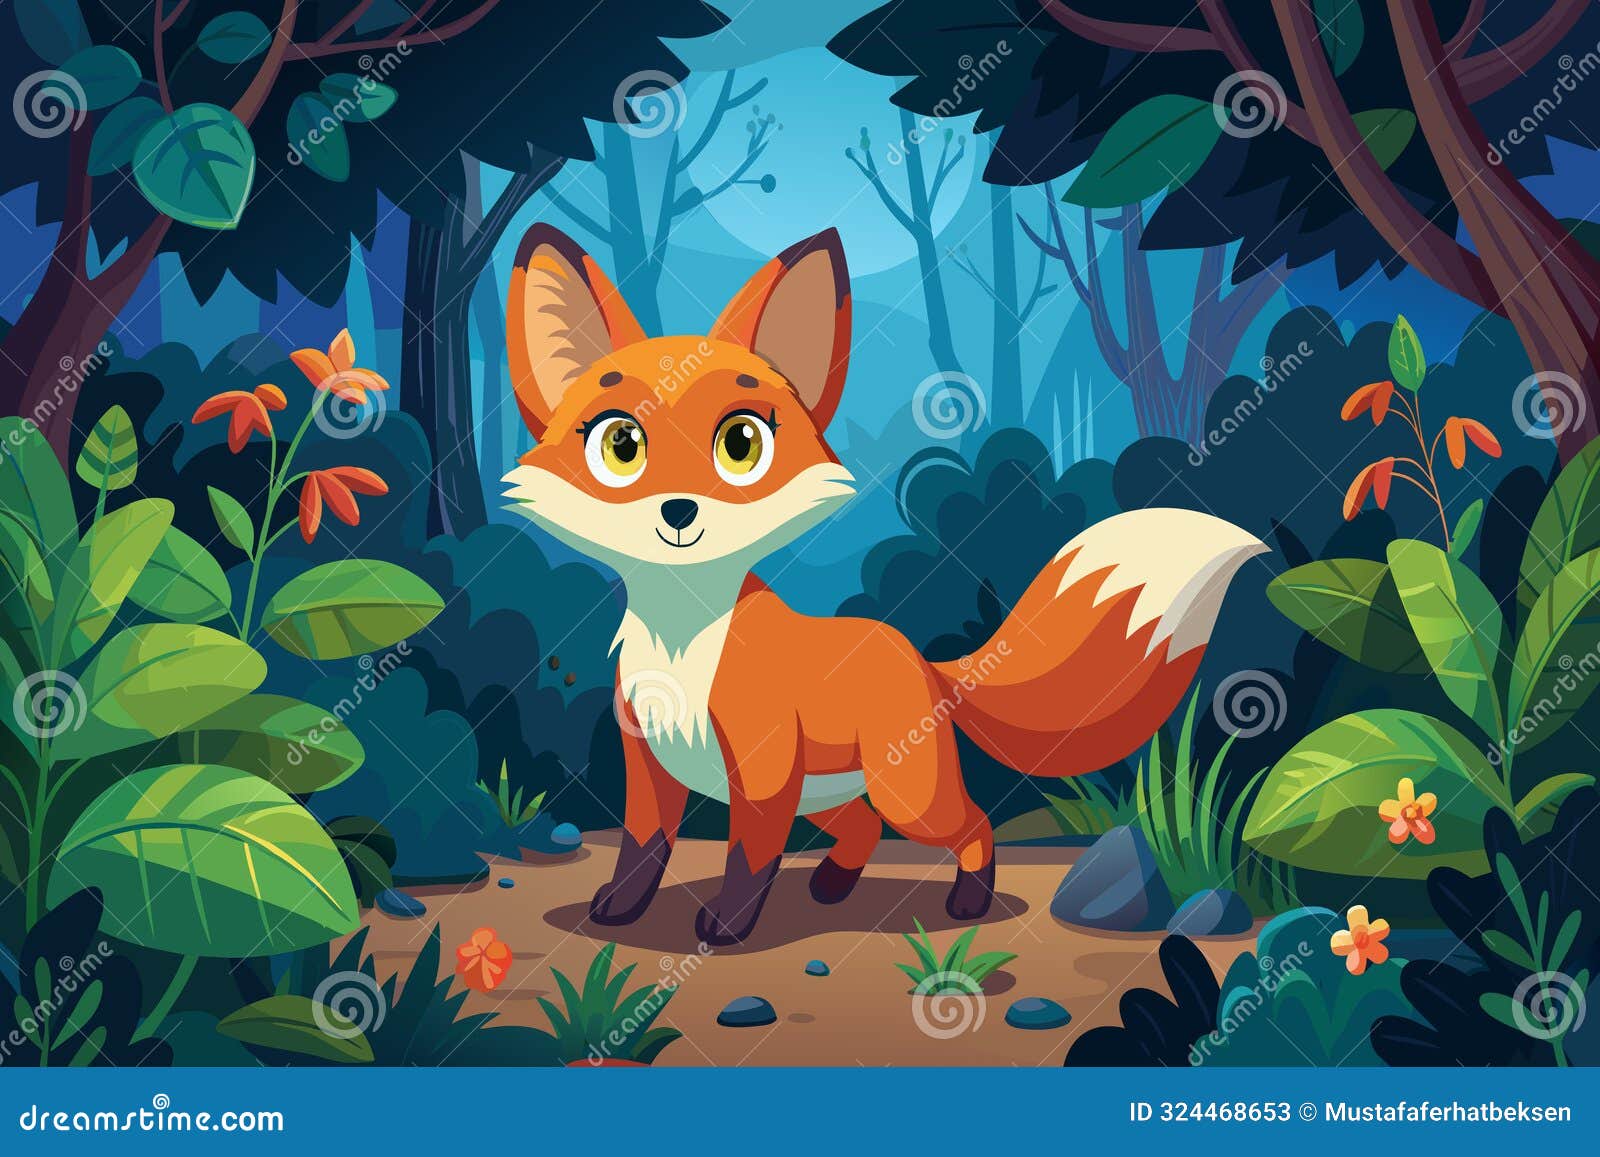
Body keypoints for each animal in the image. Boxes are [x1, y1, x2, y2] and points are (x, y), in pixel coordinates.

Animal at [501, 223, 1267, 946]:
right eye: (620, 445)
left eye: (741, 444)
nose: (679, 513)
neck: (682, 642)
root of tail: (924, 662)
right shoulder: (651, 765)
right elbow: (643, 848)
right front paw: (619, 909)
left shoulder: (764, 773)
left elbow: (748, 859)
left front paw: (727, 929)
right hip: (836, 791)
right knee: (864, 825)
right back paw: (834, 885)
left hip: (907, 793)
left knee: (971, 824)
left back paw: (968, 902)